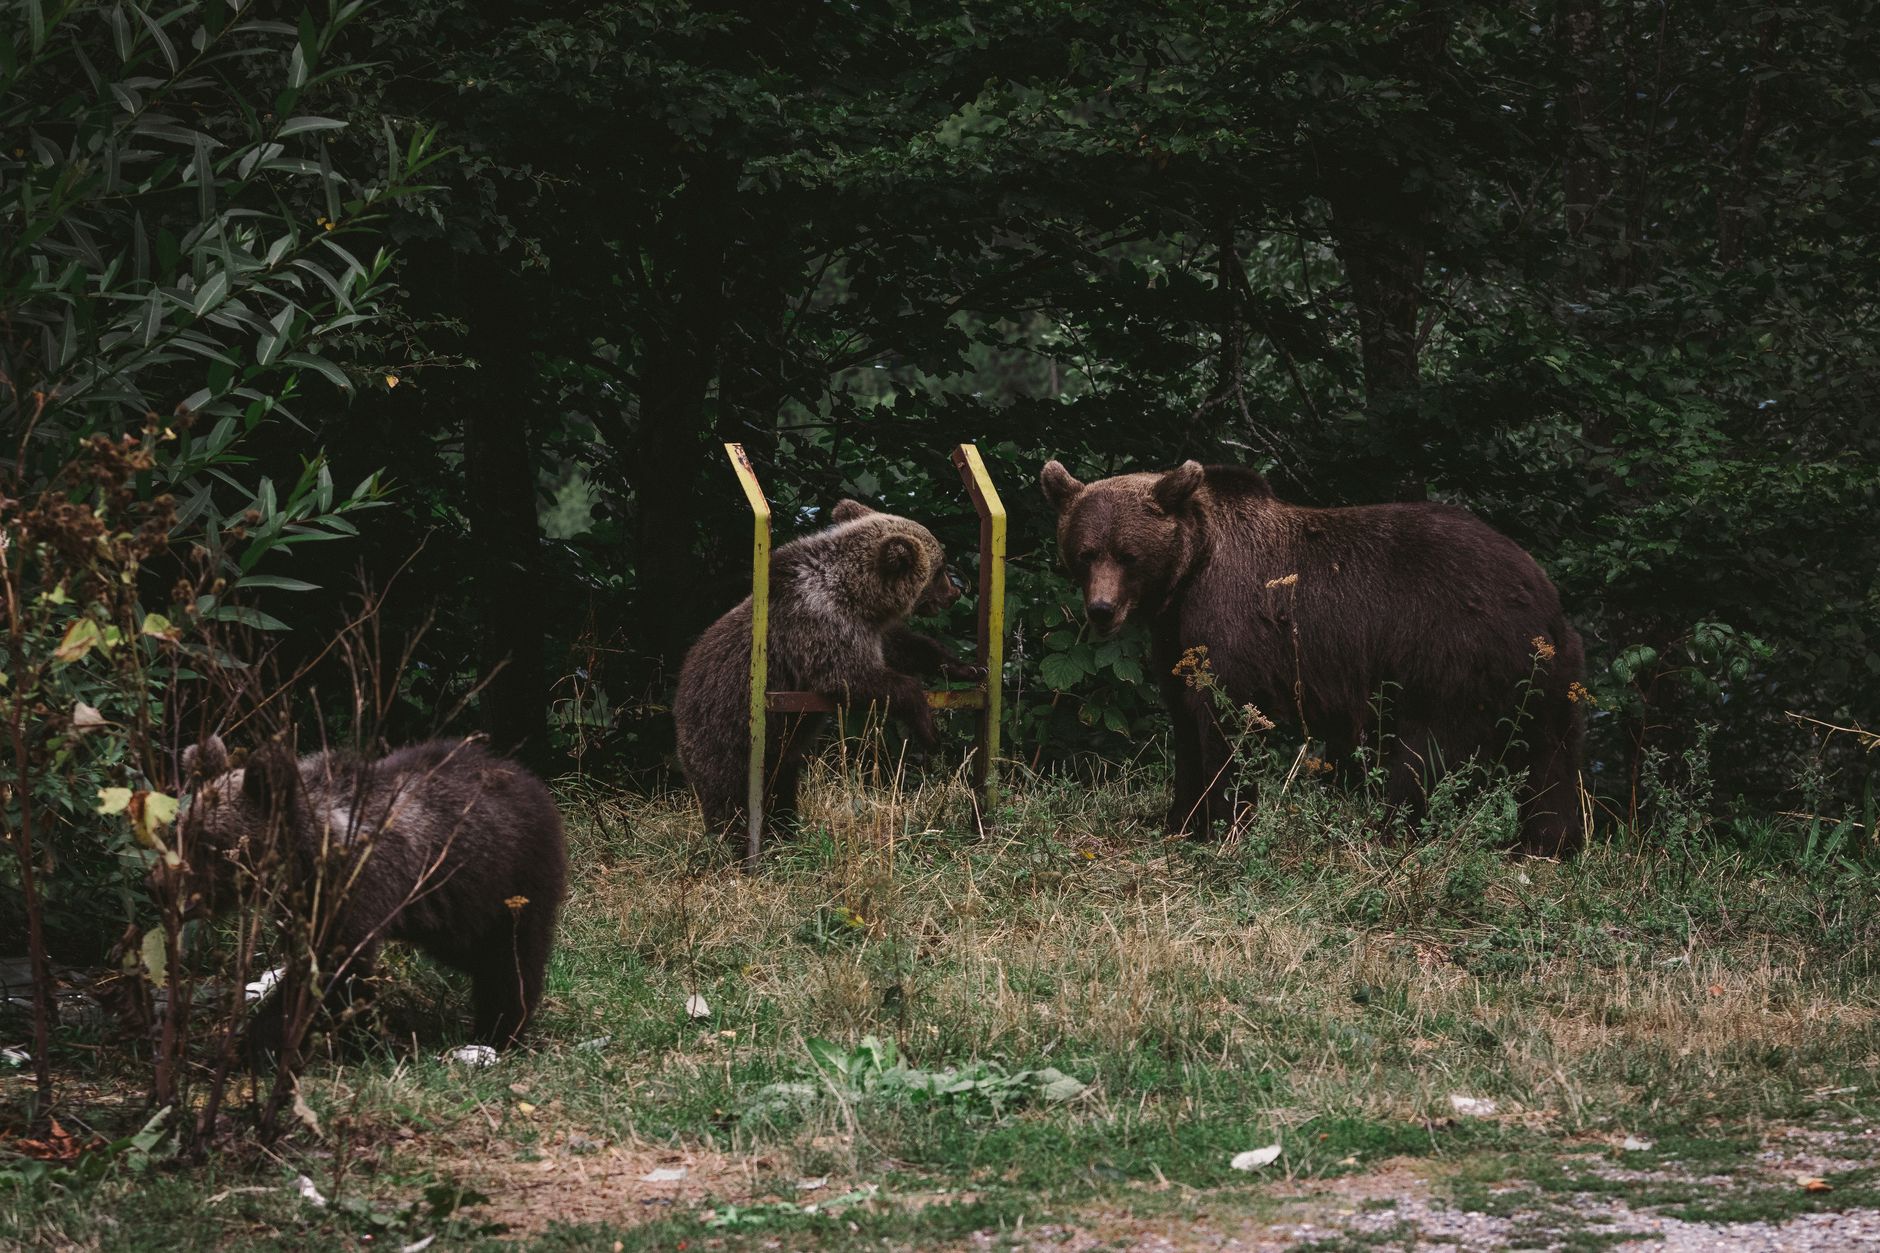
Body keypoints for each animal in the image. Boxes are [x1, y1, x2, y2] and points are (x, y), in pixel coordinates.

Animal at [174, 734, 566, 1051]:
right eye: (183, 833)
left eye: (210, 844)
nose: (178, 898)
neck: (307, 851)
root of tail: (528, 778)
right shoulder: (301, 904)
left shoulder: (353, 887)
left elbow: (333, 971)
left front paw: (257, 1042)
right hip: (456, 913)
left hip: (507, 880)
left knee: (509, 959)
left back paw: (497, 1033)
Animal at [674, 499, 979, 851]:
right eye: (940, 569)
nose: (956, 593)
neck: (858, 596)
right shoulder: (821, 627)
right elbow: (853, 680)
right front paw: (928, 728)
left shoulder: (869, 631)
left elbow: (907, 647)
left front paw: (966, 666)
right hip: (724, 735)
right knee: (729, 798)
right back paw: (737, 844)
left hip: (778, 753)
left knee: (780, 790)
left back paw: (783, 832)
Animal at [1040, 459, 1585, 856]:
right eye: (1086, 552)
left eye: (1127, 554)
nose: (1101, 609)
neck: (1187, 573)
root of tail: (1542, 592)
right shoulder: (1174, 640)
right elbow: (1186, 720)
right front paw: (1180, 817)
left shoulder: (1229, 620)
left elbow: (1226, 720)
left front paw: (1223, 822)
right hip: (1548, 674)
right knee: (1553, 756)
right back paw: (1548, 843)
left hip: (1450, 650)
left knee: (1425, 750)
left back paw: (1387, 831)